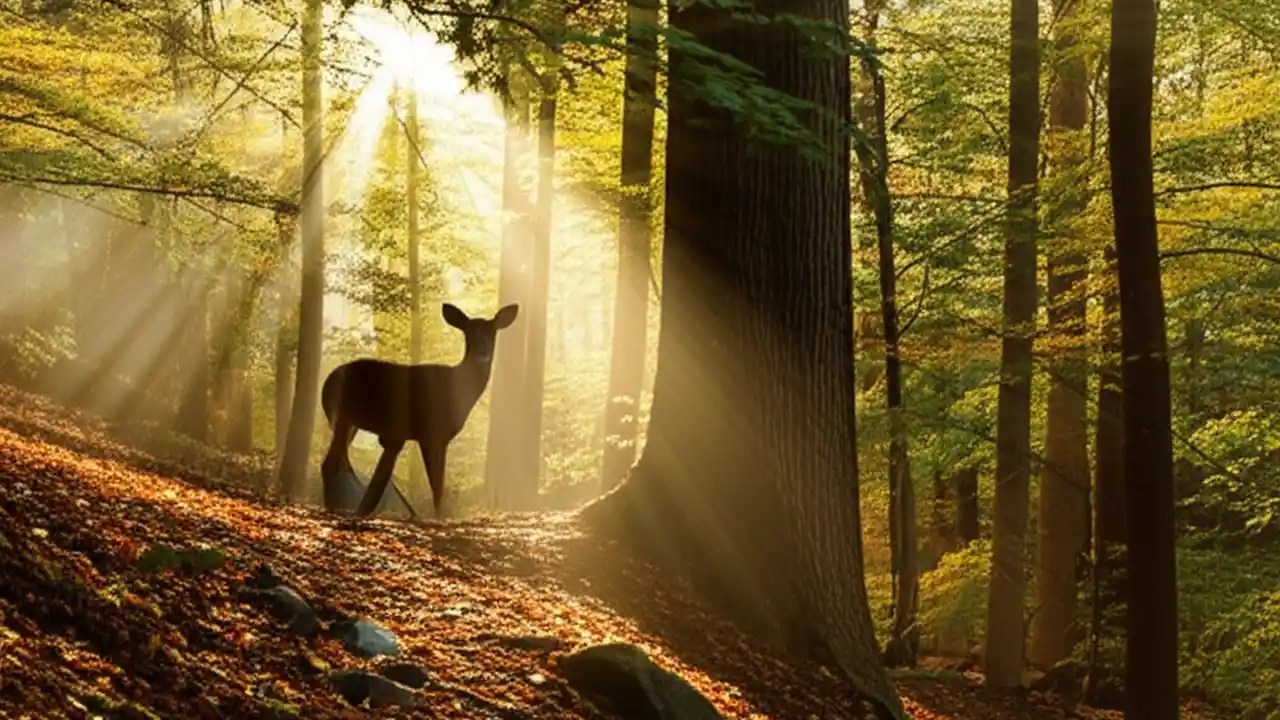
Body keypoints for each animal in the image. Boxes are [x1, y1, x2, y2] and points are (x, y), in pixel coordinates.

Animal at [320, 302, 519, 519]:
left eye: (492, 332)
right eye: (469, 333)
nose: (482, 352)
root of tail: (327, 383)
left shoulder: (427, 437)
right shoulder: (433, 433)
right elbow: (437, 484)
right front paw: (439, 518)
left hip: (351, 423)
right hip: (344, 415)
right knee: (331, 464)